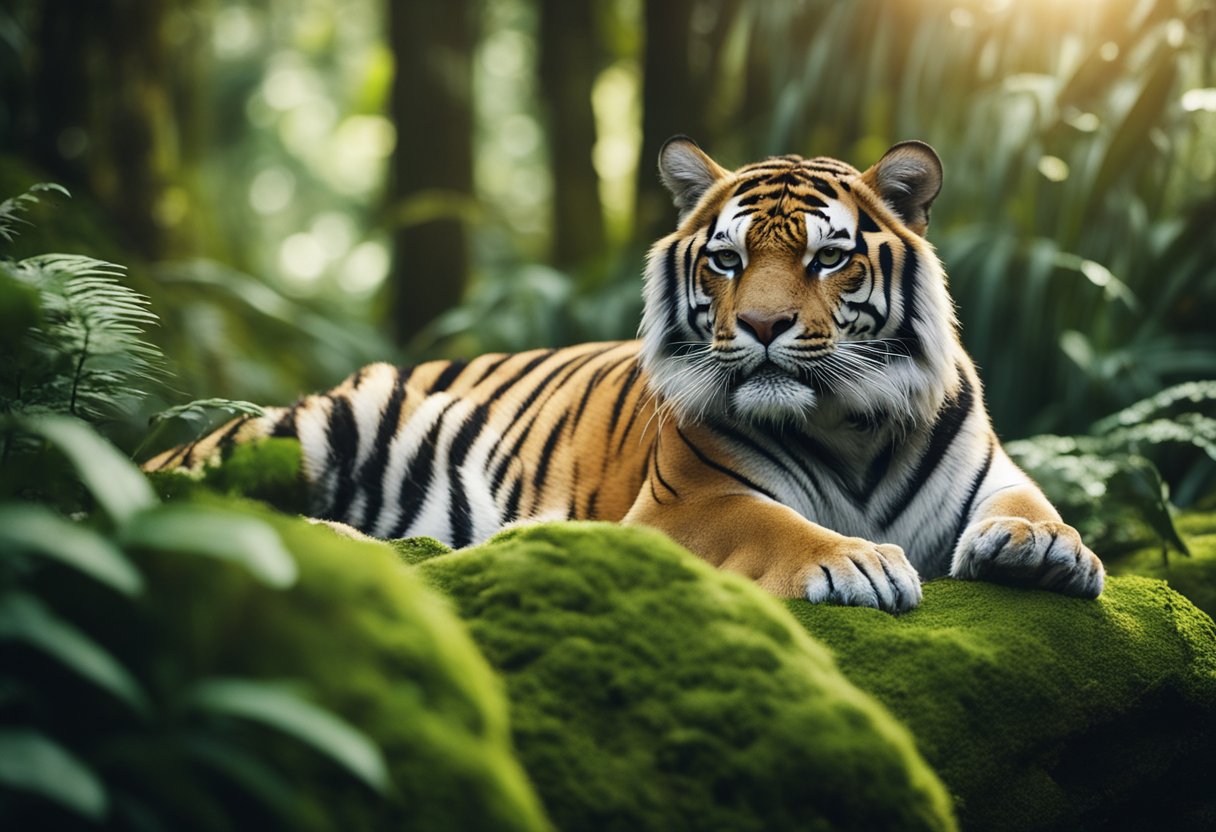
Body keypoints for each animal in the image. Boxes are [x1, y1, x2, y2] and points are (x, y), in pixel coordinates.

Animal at [144, 137, 1105, 613]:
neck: (849, 423)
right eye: (726, 260)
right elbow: (775, 526)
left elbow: (1030, 503)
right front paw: (858, 562)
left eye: (829, 258)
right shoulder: (685, 504)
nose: (761, 327)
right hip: (304, 430)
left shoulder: (990, 469)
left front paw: (1048, 549)